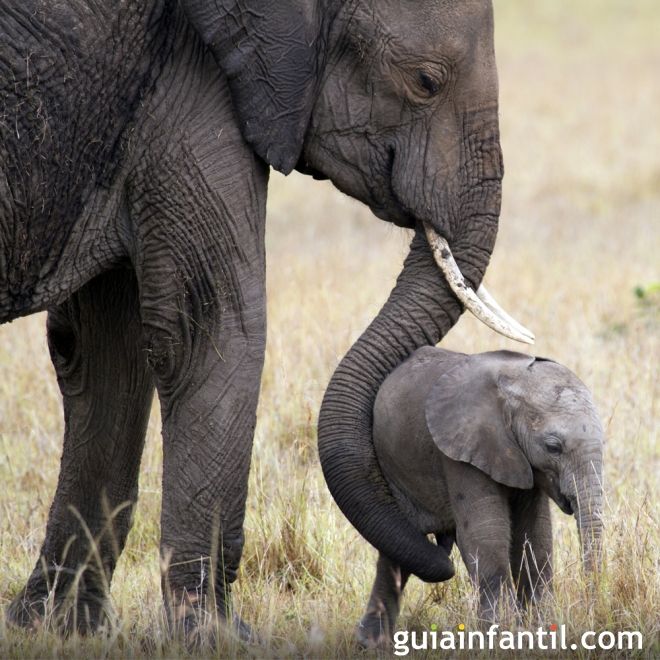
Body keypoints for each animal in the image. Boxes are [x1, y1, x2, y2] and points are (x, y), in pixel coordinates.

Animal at [1, 0, 532, 638]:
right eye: (425, 82)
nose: (441, 549)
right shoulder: (191, 80)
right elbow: (213, 328)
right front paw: (215, 635)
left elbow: (105, 348)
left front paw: (54, 629)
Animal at [355, 347, 604, 648]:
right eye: (553, 447)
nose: (591, 608)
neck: (513, 383)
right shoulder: (463, 450)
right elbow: (486, 535)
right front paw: (502, 637)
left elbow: (534, 537)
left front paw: (541, 630)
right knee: (398, 545)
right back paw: (373, 643)